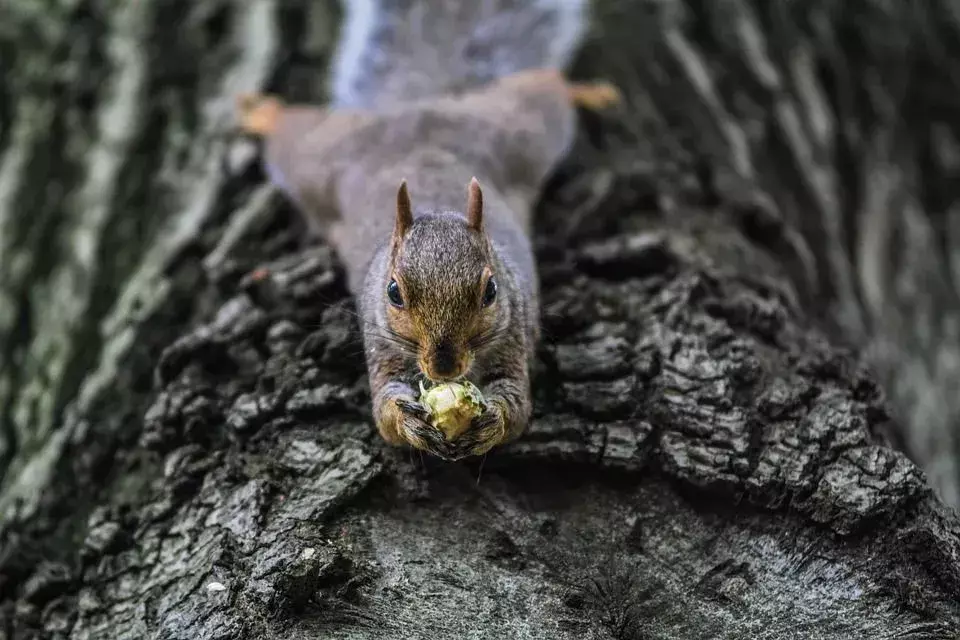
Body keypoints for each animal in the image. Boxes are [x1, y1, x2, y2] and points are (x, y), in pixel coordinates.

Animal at [236, 0, 620, 460]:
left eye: (490, 291)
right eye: (393, 292)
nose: (444, 367)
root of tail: (420, 105)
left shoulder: (513, 335)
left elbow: (517, 407)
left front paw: (492, 420)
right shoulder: (381, 345)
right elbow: (384, 413)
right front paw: (408, 421)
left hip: (521, 130)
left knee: (545, 86)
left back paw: (589, 91)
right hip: (318, 159)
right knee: (291, 132)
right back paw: (262, 111)